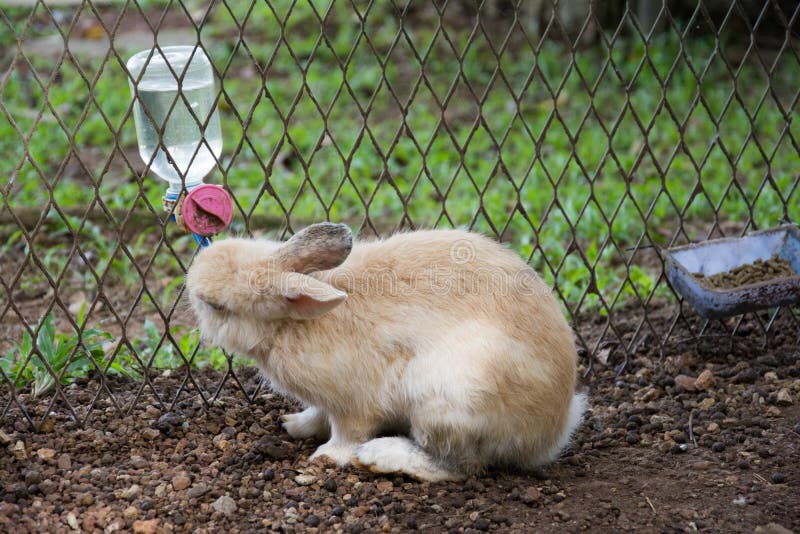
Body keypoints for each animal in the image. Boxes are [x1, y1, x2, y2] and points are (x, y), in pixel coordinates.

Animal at [186, 222, 587, 482]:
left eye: (216, 306)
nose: (190, 284)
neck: (291, 323)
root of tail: (551, 432)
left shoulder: (353, 406)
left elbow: (347, 433)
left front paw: (325, 458)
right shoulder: (325, 402)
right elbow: (317, 415)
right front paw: (294, 425)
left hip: (448, 397)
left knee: (461, 467)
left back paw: (378, 456)